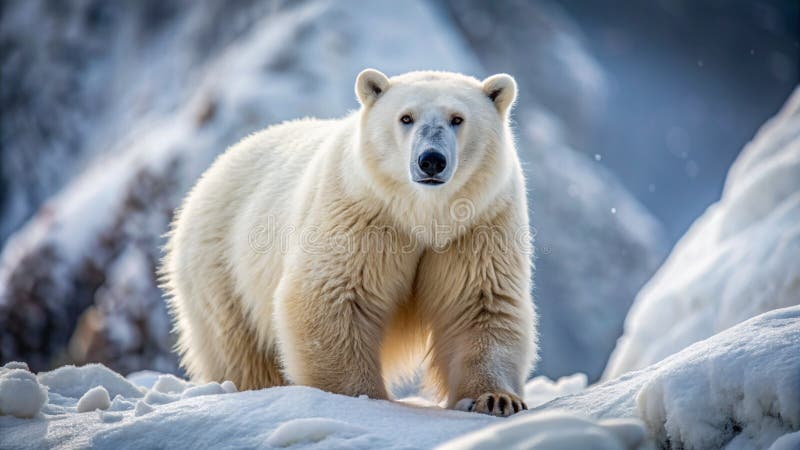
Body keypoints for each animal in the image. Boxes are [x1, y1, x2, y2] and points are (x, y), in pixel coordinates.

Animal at [162, 69, 537, 416]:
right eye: (406, 117)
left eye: (457, 118)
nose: (431, 160)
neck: (422, 213)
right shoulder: (362, 214)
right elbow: (329, 296)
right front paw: (361, 398)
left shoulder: (477, 225)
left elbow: (480, 303)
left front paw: (495, 399)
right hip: (221, 267)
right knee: (239, 349)